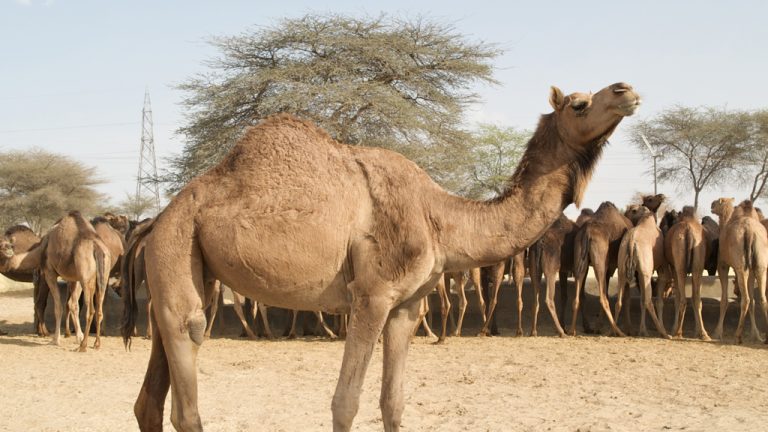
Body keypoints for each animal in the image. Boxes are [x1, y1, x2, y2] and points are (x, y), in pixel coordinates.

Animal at [570, 201, 632, 336]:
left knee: (578, 295)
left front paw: (598, 327)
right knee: (603, 297)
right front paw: (629, 329)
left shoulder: (608, 269)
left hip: (580, 258)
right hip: (600, 259)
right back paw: (617, 331)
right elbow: (626, 297)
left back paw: (573, 330)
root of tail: (587, 233)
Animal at [614, 206, 670, 338]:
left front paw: (642, 331)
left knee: (619, 301)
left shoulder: (638, 273)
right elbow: (657, 301)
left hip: (622, 269)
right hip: (646, 272)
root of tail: (631, 242)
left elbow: (641, 301)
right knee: (649, 301)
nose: (624, 214)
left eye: (631, 210)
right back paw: (664, 333)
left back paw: (615, 331)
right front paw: (650, 330)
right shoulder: (662, 268)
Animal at [663, 206, 710, 340]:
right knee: (697, 299)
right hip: (698, 265)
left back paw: (678, 332)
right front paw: (697, 332)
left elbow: (677, 298)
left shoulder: (673, 267)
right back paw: (704, 334)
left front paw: (674, 329)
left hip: (680, 266)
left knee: (683, 300)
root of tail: (688, 231)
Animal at [714, 200, 768, 343]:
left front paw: (717, 332)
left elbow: (724, 300)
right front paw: (756, 335)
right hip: (760, 266)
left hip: (740, 266)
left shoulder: (722, 265)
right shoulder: (752, 269)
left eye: (717, 203)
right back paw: (765, 338)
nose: (711, 205)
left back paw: (737, 336)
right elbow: (754, 302)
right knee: (762, 299)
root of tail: (749, 231)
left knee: (746, 299)